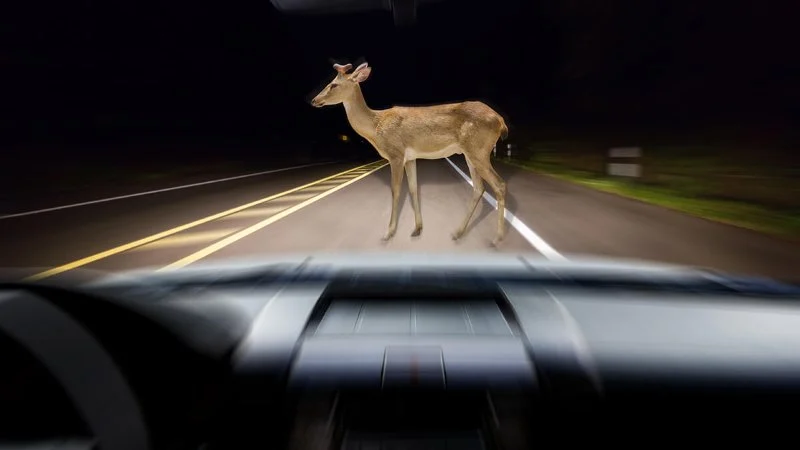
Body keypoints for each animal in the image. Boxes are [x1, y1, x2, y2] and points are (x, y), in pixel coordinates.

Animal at [310, 62, 509, 246]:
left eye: (333, 84)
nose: (314, 100)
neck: (376, 126)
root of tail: (501, 121)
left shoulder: (396, 155)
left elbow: (396, 190)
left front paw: (388, 233)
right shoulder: (410, 158)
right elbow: (414, 188)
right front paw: (417, 229)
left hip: (478, 150)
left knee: (499, 184)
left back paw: (497, 238)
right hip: (470, 154)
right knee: (479, 188)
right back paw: (458, 233)